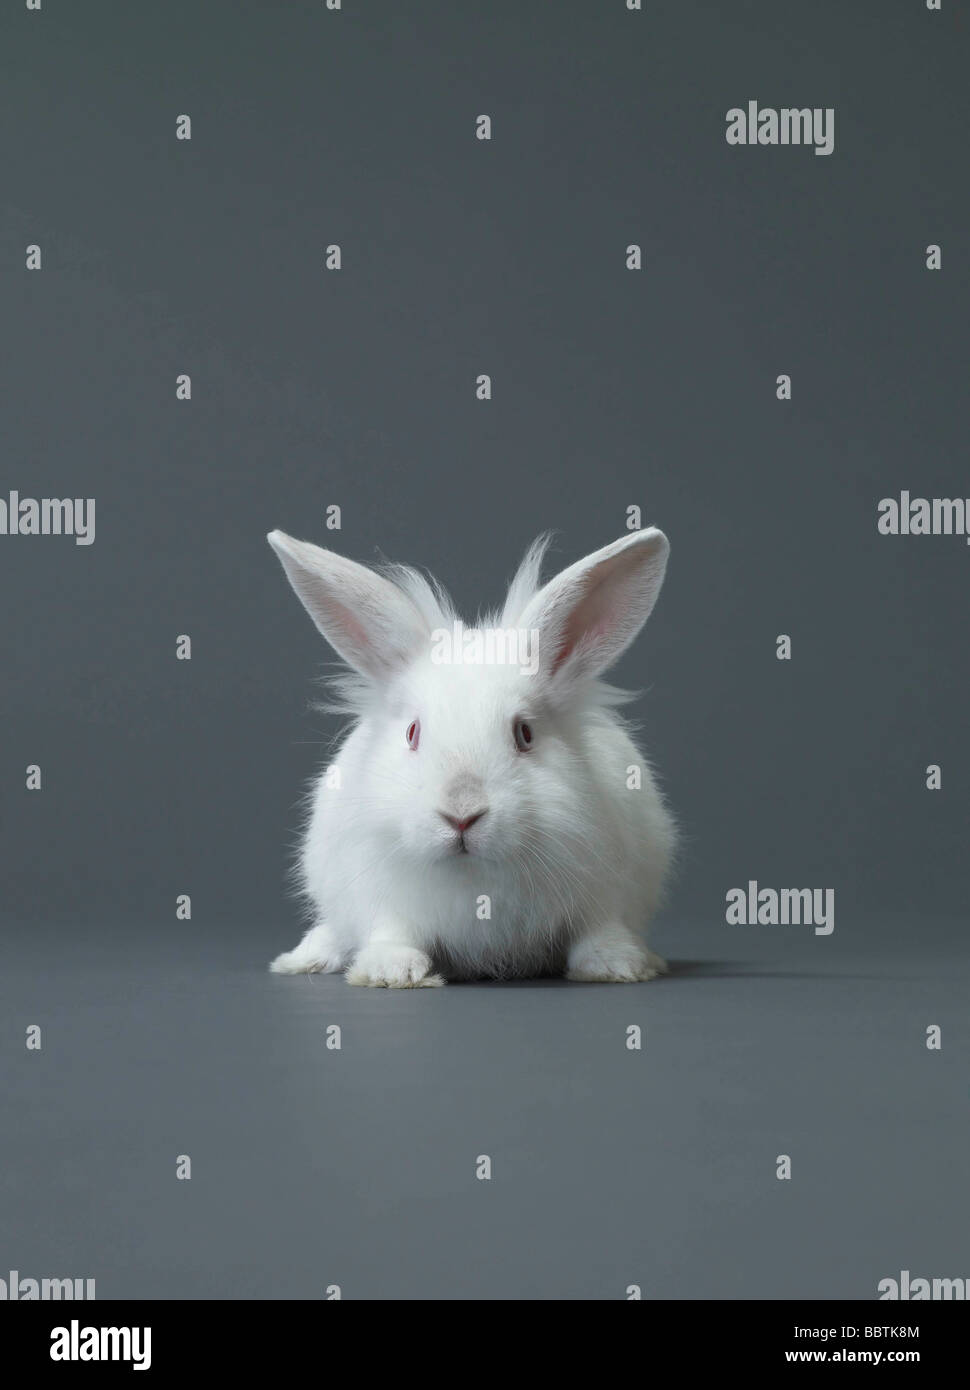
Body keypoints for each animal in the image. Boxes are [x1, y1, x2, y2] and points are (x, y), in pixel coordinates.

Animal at [266, 527, 677, 987]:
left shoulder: (608, 890)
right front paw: (391, 972)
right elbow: (391, 931)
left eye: (524, 734)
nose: (461, 815)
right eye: (412, 733)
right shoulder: (377, 891)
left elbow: (599, 929)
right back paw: (303, 959)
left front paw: (615, 965)